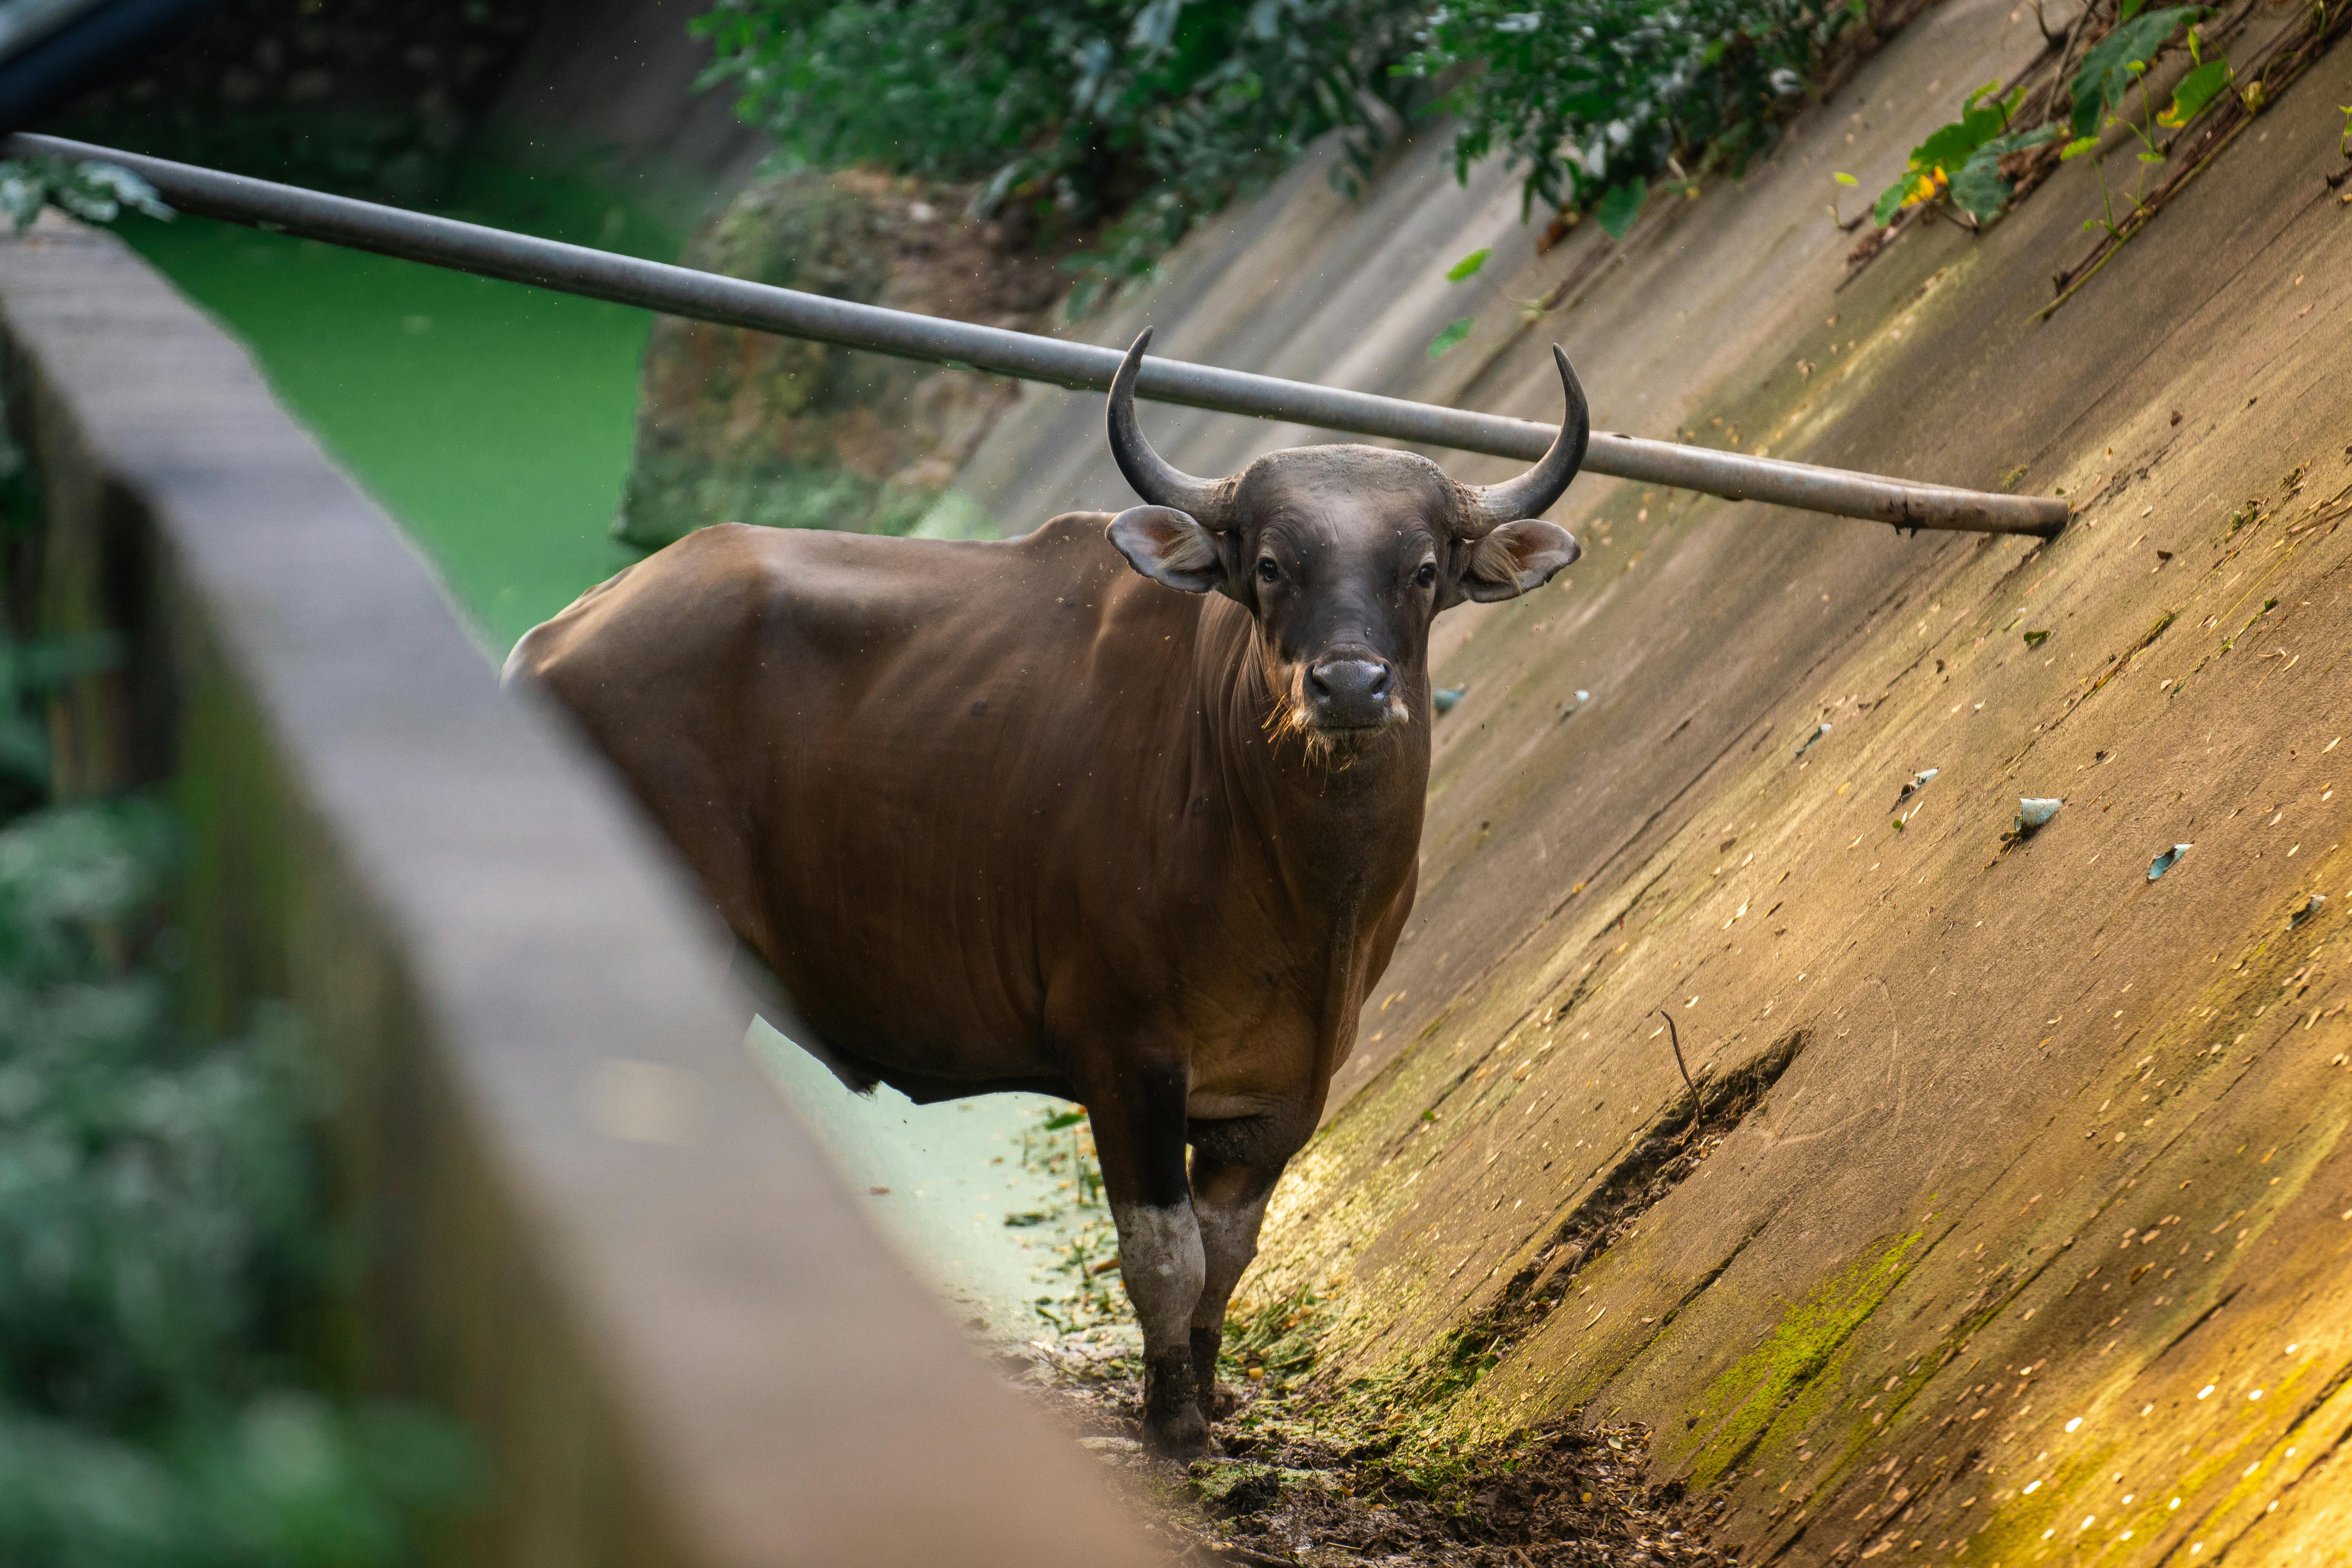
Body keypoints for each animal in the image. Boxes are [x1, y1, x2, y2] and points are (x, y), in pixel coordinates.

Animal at [506, 330, 1588, 1457]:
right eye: (1271, 565)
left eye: (1421, 569)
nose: (1348, 686)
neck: (1288, 881)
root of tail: (555, 639)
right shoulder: (1126, 1056)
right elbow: (1164, 1257)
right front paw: (1170, 1424)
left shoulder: (1286, 1092)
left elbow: (1228, 1258)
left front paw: (1208, 1400)